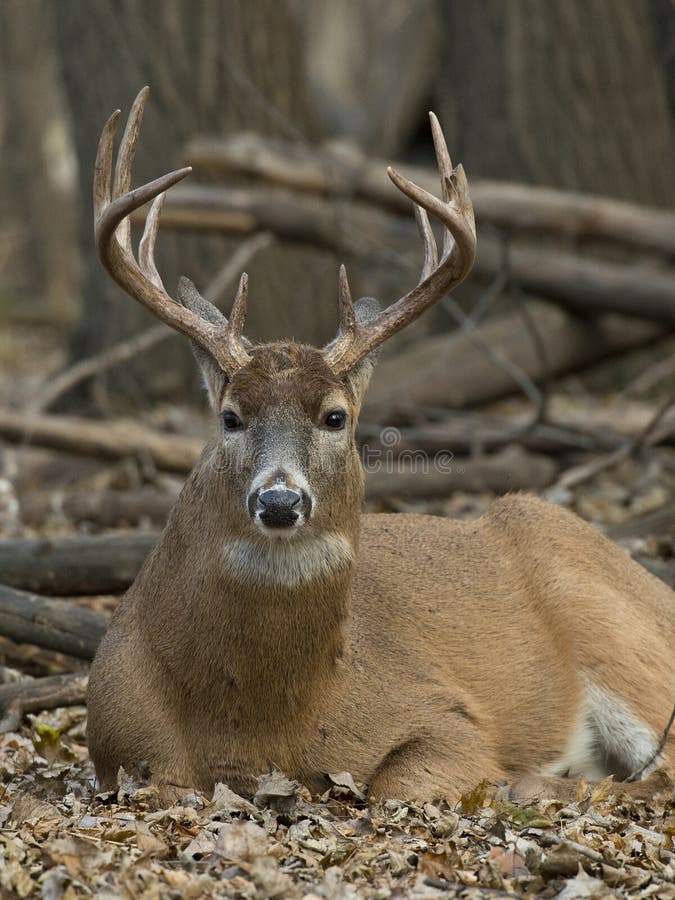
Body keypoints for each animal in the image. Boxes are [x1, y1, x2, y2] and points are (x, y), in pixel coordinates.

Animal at [87, 87, 675, 806]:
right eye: (229, 417)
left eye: (335, 417)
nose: (279, 501)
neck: (254, 729)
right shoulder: (118, 744)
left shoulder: (448, 716)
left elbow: (402, 783)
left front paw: (513, 780)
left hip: (625, 642)